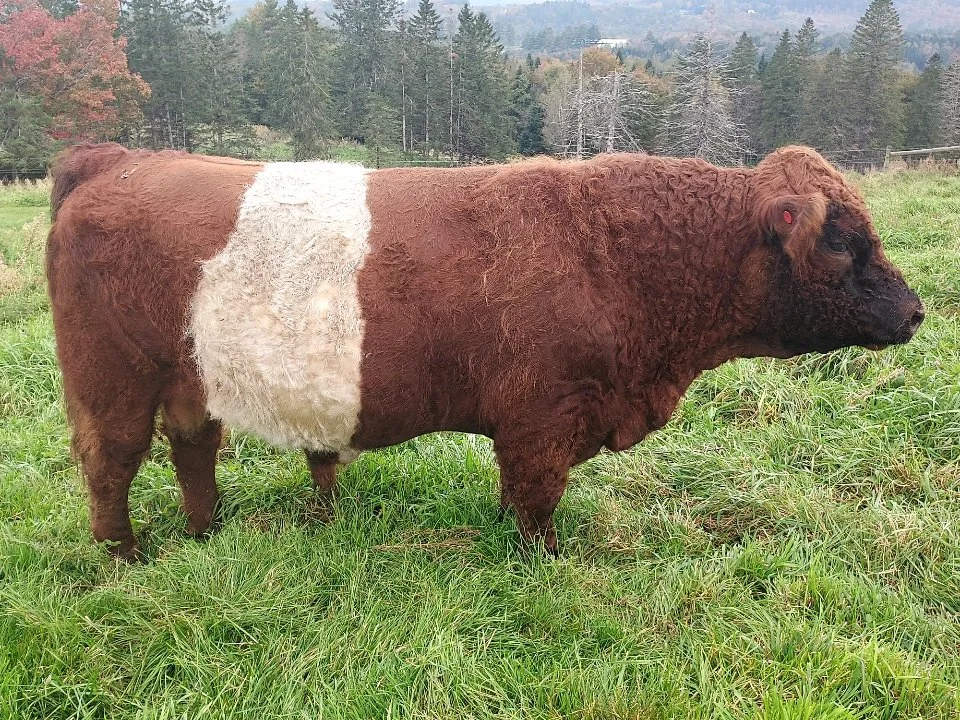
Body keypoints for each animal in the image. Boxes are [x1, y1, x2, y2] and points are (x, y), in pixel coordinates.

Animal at [46, 143, 924, 558]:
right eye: (843, 241)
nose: (917, 312)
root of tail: (116, 159)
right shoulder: (543, 419)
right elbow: (535, 502)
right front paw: (542, 564)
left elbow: (515, 499)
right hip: (113, 379)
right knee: (111, 462)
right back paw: (124, 557)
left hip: (190, 373)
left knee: (193, 444)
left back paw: (209, 533)